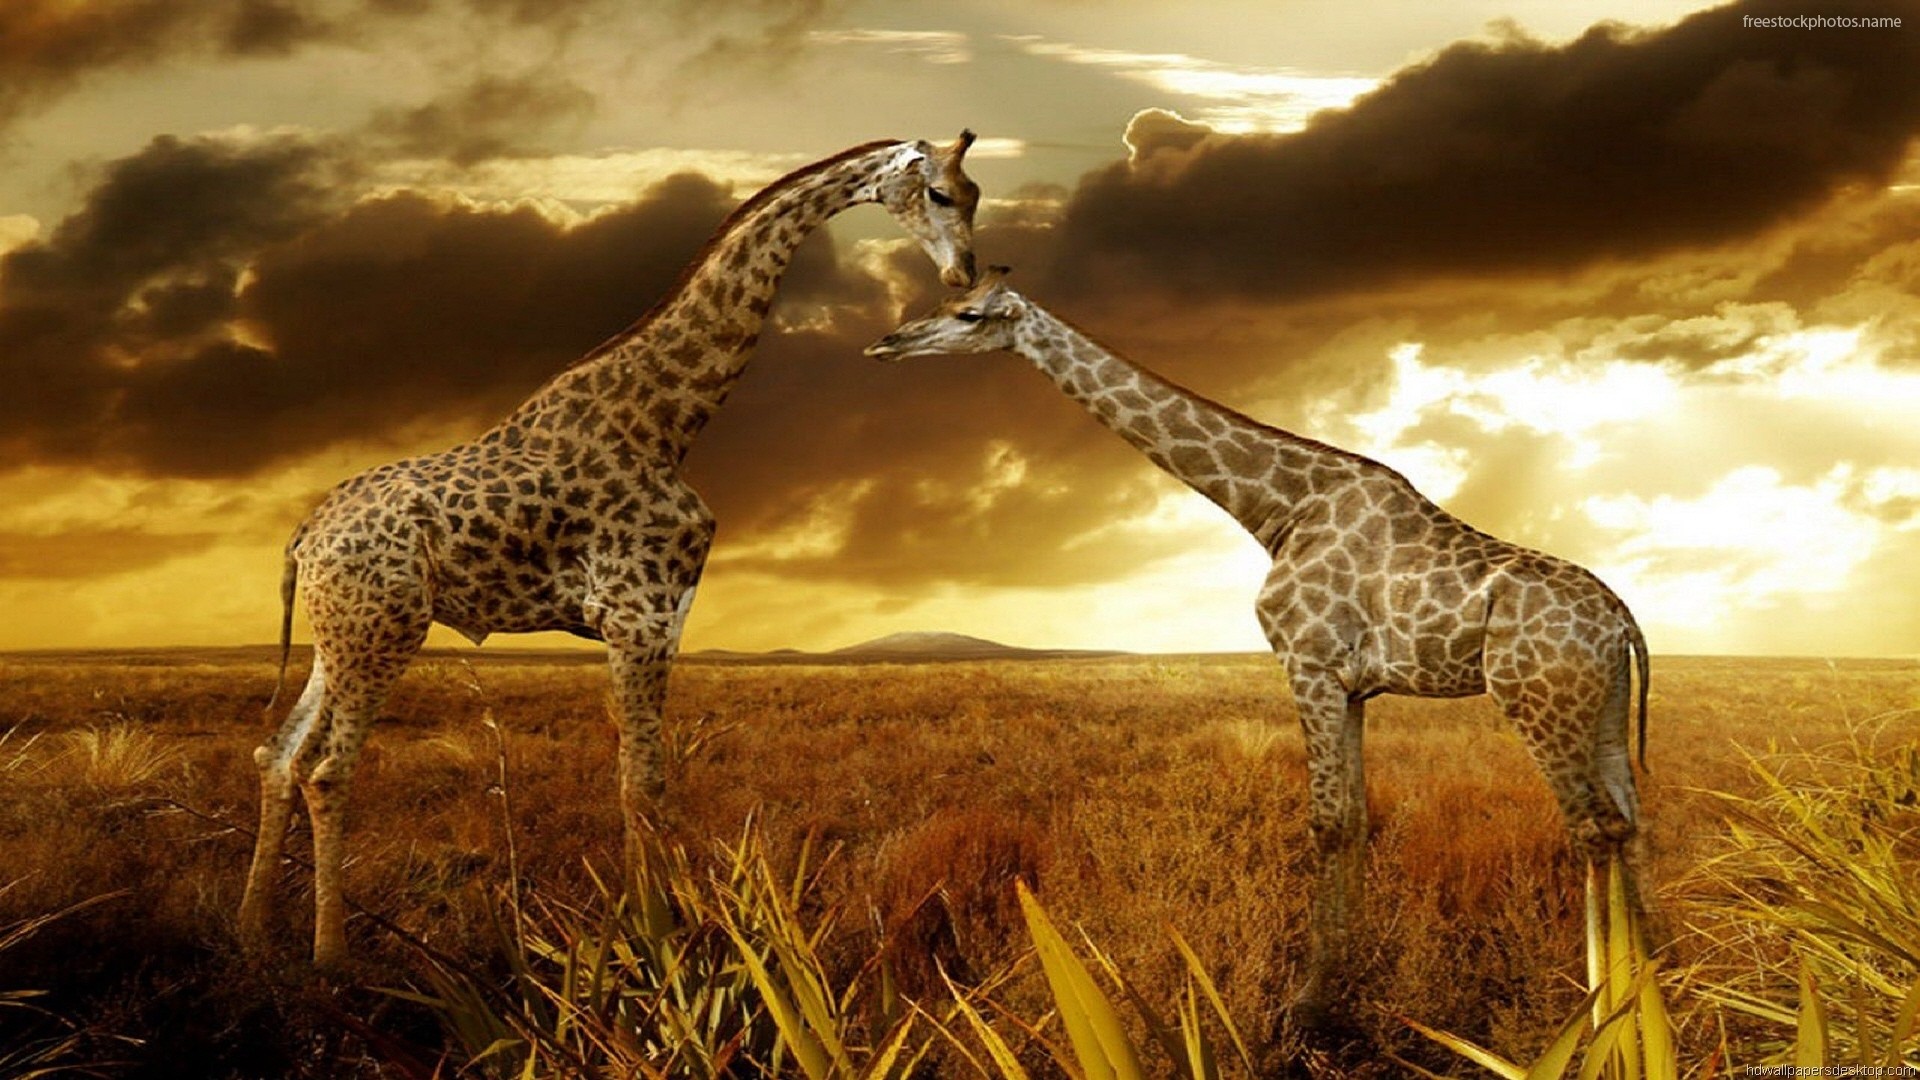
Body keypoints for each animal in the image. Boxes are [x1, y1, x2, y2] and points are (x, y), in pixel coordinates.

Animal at [239, 133, 983, 968]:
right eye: (942, 194)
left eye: (976, 193)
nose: (965, 273)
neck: (668, 423)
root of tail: (304, 537)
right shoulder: (639, 618)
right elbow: (643, 782)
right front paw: (654, 936)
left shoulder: (655, 620)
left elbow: (638, 775)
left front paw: (653, 925)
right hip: (382, 631)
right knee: (327, 768)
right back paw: (331, 953)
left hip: (337, 637)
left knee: (278, 753)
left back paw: (252, 931)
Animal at [866, 268, 1651, 1027]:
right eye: (947, 299)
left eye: (970, 315)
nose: (886, 343)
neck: (1277, 509)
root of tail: (1622, 620)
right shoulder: (1352, 686)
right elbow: (1357, 817)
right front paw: (1348, 977)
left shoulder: (1309, 664)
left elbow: (1328, 822)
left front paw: (1309, 1002)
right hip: (1603, 705)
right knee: (1628, 817)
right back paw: (1649, 983)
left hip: (1535, 699)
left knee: (1592, 825)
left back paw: (1601, 1009)